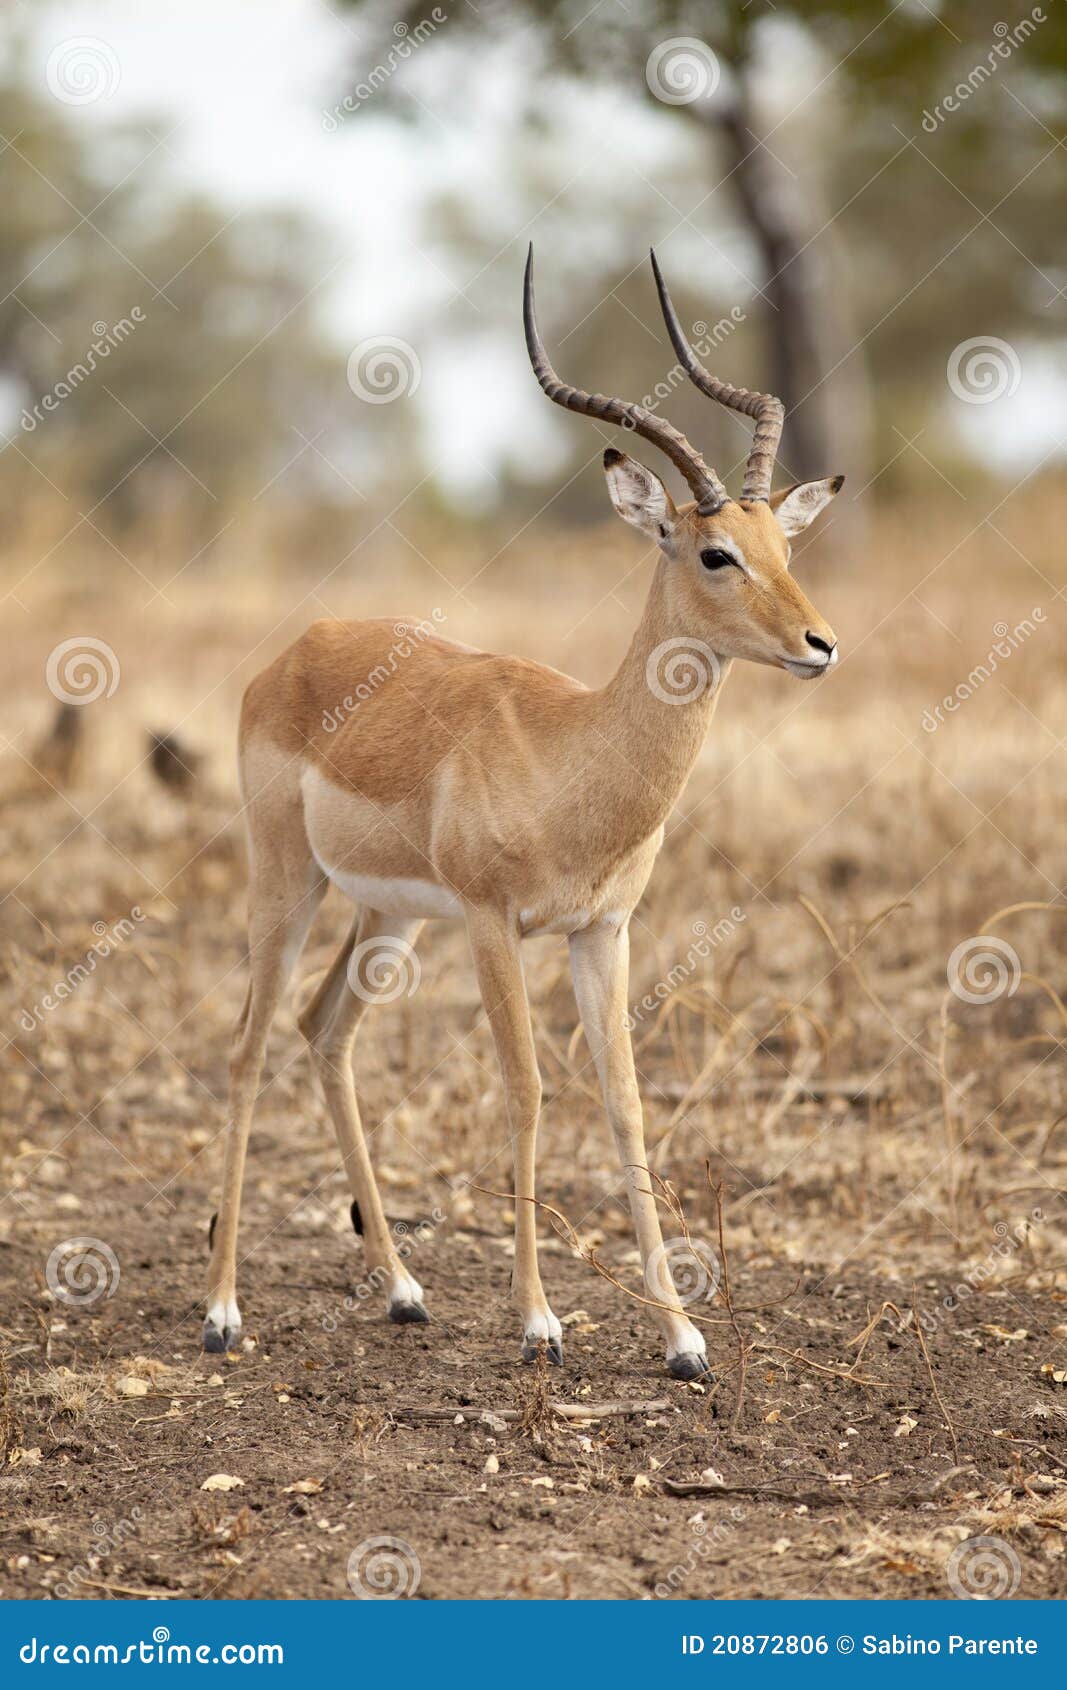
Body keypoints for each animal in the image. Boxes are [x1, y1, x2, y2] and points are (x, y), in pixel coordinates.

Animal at [203, 248, 842, 1380]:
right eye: (713, 552)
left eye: (781, 542)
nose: (819, 644)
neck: (568, 753)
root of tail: (296, 648)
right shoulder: (495, 924)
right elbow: (529, 1088)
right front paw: (539, 1321)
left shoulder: (602, 931)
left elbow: (625, 1102)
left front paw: (682, 1337)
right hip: (288, 881)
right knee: (244, 1049)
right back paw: (223, 1311)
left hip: (389, 915)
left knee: (322, 1030)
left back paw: (403, 1289)